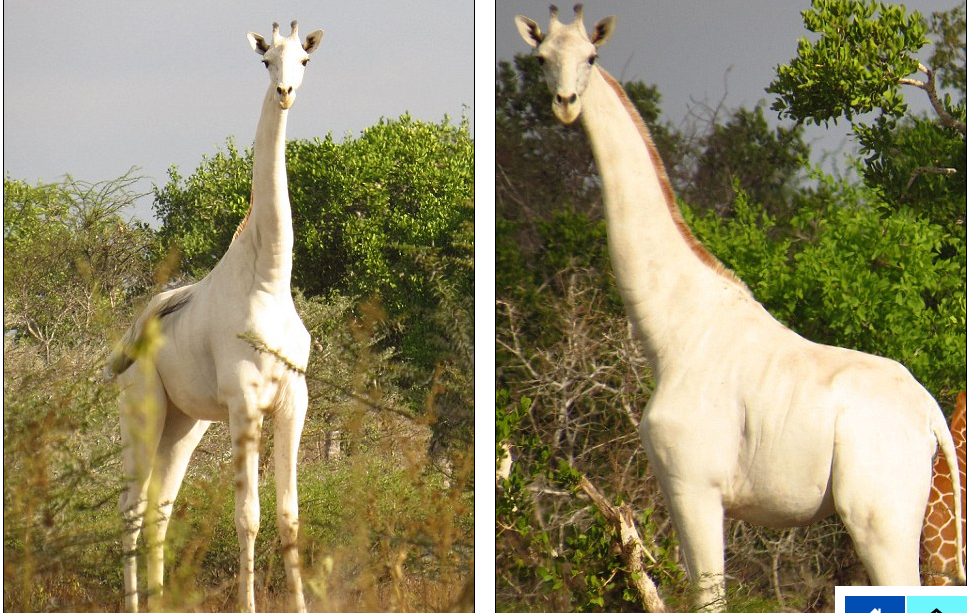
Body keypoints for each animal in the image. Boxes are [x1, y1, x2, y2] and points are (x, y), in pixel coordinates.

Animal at [107, 21, 323, 613]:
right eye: (265, 60)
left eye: (304, 60)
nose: (285, 93)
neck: (268, 280)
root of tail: (128, 339)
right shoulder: (245, 402)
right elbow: (247, 517)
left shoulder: (294, 400)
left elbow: (290, 517)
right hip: (143, 408)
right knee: (131, 508)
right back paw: (134, 602)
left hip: (186, 423)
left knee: (160, 508)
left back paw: (160, 601)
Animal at [514, 6, 965, 609]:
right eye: (542, 58)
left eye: (591, 56)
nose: (565, 103)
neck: (674, 330)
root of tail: (930, 416)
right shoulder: (679, 490)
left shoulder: (694, 484)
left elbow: (708, 596)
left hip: (881, 518)